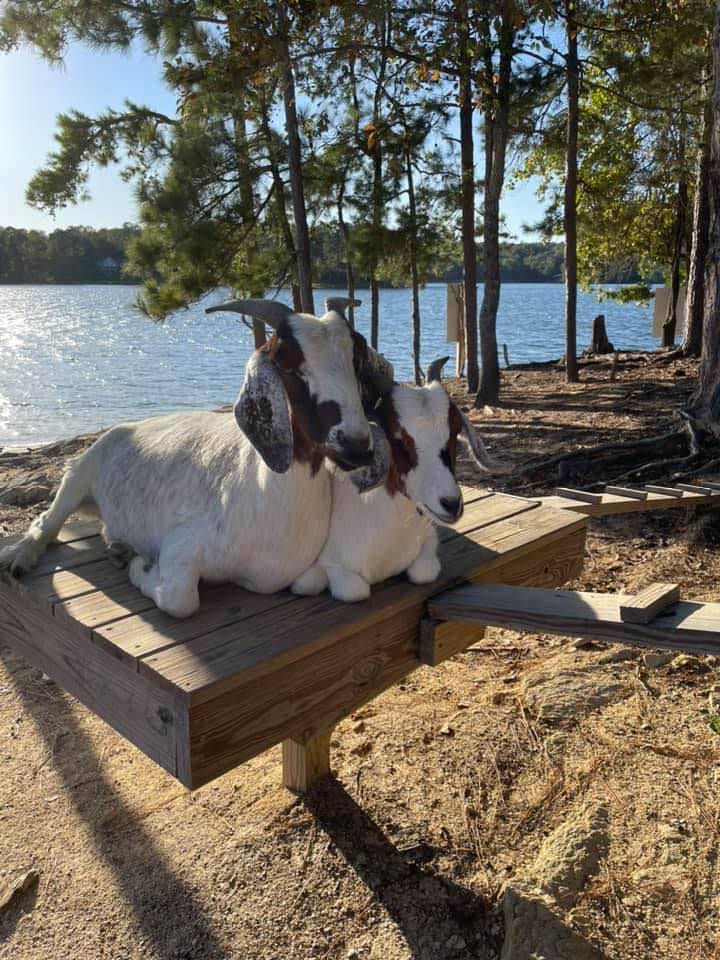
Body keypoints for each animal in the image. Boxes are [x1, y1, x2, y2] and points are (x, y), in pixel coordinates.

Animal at [0, 298, 392, 618]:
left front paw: (131, 558)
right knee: (46, 521)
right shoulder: (182, 546)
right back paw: (19, 557)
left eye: (355, 358)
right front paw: (141, 567)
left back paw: (117, 547)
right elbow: (180, 600)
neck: (266, 493)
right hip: (77, 476)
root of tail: (122, 428)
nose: (356, 445)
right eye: (288, 362)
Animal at [291, 358, 499, 602]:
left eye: (455, 431)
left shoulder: (428, 539)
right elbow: (350, 590)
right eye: (397, 438)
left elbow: (424, 573)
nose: (451, 504)